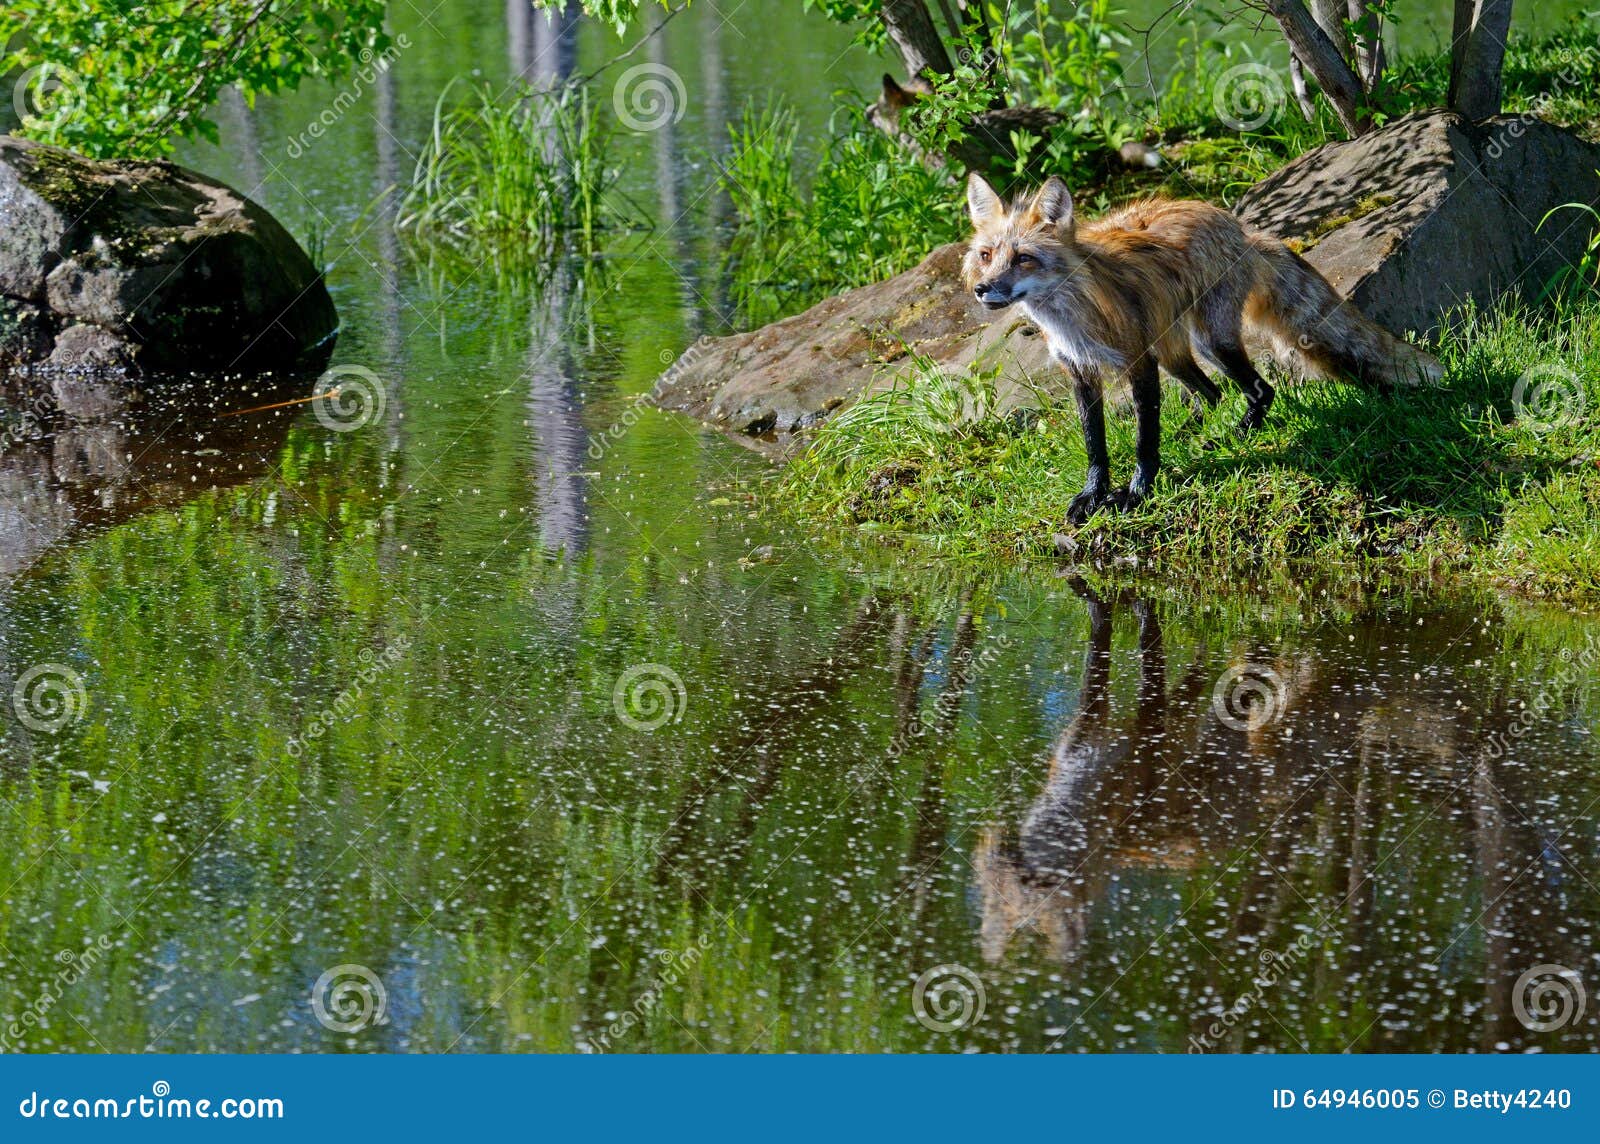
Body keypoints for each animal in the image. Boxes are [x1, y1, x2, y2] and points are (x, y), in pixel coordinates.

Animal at [962, 173, 1444, 524]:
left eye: (1024, 258)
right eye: (987, 255)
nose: (983, 289)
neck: (1073, 320)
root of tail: (1238, 224)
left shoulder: (1138, 362)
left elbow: (1144, 441)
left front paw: (1138, 491)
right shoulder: (1081, 372)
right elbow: (1095, 445)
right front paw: (1093, 494)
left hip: (1212, 343)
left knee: (1259, 389)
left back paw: (1238, 434)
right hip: (1177, 350)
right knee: (1212, 394)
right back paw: (1196, 434)